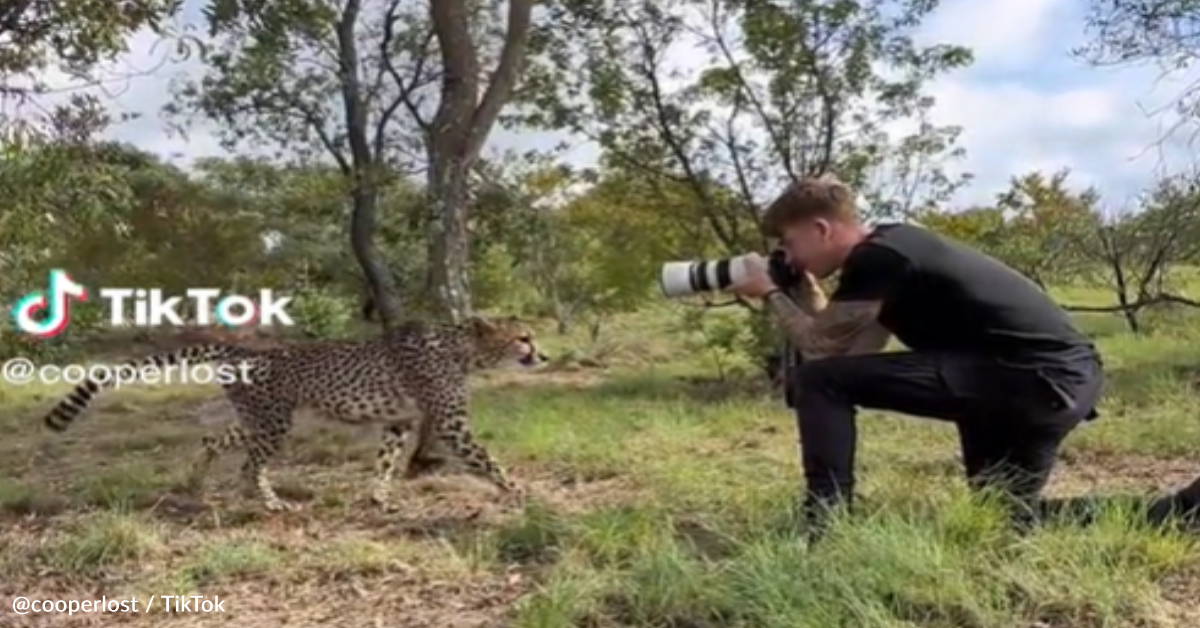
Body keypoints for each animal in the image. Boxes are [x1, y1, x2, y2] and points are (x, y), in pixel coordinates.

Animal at [42, 315, 547, 511]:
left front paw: (379, 498)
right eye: (522, 337)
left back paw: (196, 484)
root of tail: (238, 347)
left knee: (215, 441)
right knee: (250, 466)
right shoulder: (450, 424)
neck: (464, 349)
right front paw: (522, 493)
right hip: (274, 423)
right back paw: (268, 503)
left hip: (258, 418)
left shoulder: (399, 420)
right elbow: (490, 461)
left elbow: (385, 462)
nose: (542, 355)